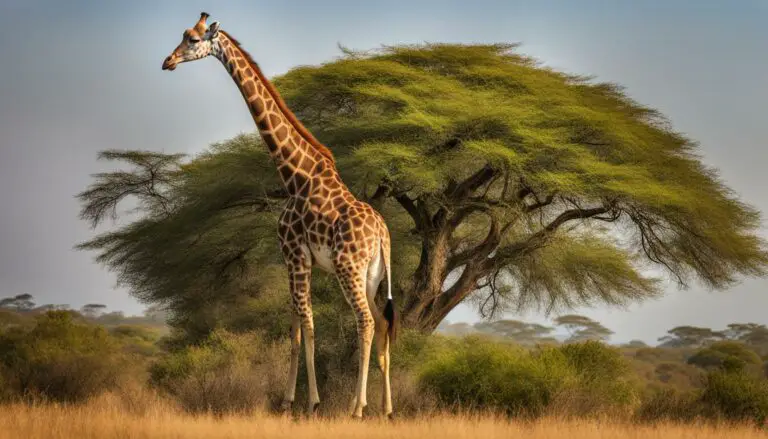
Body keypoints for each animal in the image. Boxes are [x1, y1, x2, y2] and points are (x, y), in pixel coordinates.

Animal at [161, 13, 397, 418]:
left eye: (192, 39)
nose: (168, 62)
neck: (294, 174)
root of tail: (382, 235)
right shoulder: (294, 260)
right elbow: (294, 328)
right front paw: (288, 400)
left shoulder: (294, 254)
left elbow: (308, 324)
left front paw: (312, 402)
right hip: (371, 276)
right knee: (382, 322)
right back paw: (385, 408)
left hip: (348, 269)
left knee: (365, 322)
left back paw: (357, 407)